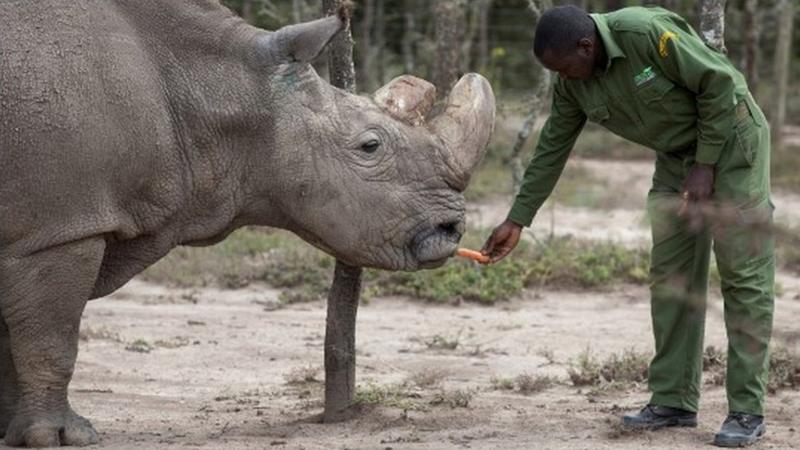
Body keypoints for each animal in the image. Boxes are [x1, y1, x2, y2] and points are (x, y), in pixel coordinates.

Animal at [0, 0, 494, 447]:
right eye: (369, 146)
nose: (452, 229)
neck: (219, 85)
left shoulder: (30, 230)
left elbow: (14, 340)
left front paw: (12, 431)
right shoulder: (59, 228)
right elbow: (52, 338)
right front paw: (61, 437)